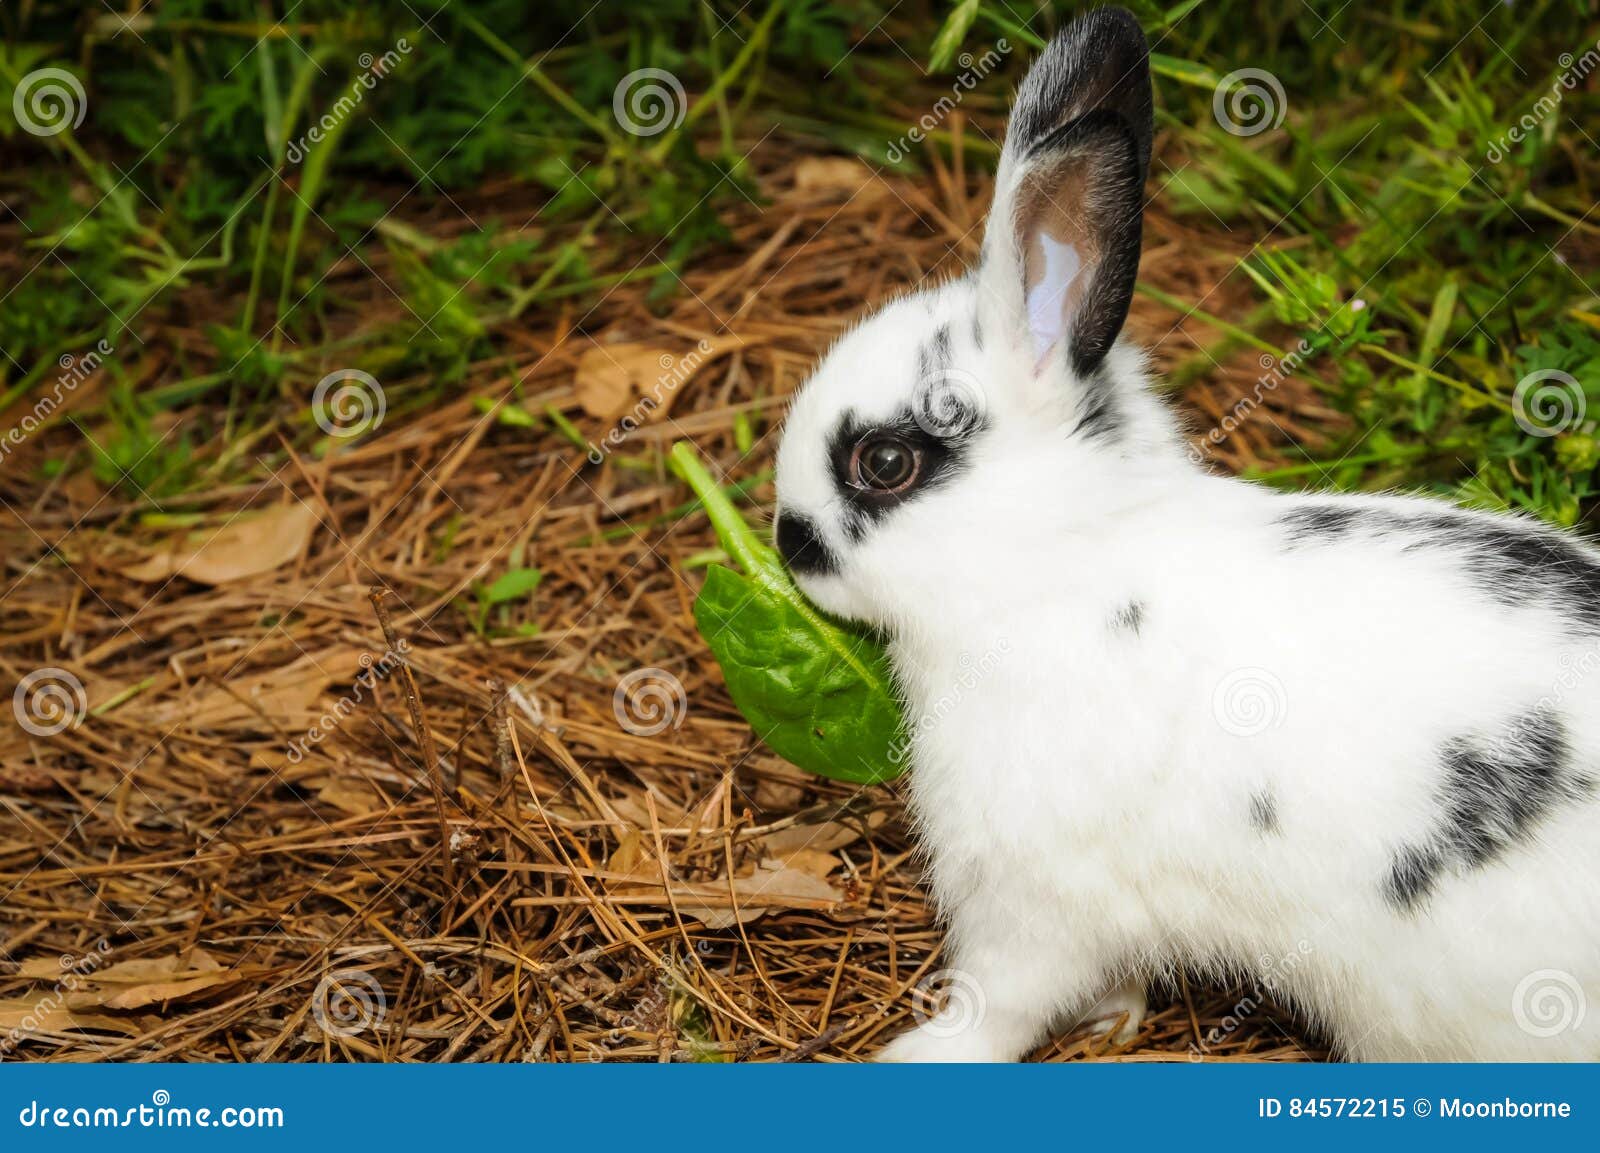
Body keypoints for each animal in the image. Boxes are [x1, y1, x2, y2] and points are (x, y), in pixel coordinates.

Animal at [770, 5, 1600, 1062]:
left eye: (883, 463)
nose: (788, 540)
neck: (1054, 563)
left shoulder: (1034, 896)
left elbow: (1002, 999)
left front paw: (921, 1054)